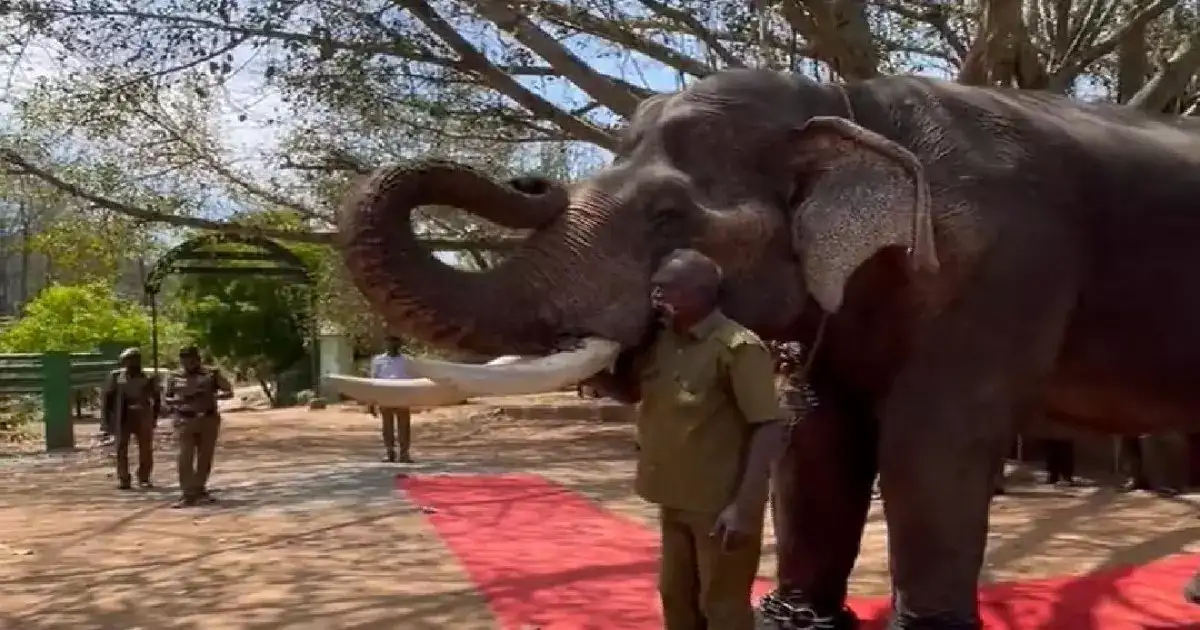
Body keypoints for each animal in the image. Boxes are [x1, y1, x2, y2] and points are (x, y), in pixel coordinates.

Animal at [335, 69, 1200, 629]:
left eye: (668, 215)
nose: (530, 181)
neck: (847, 103)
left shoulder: (1001, 265)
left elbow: (931, 444)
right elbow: (815, 440)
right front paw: (794, 619)